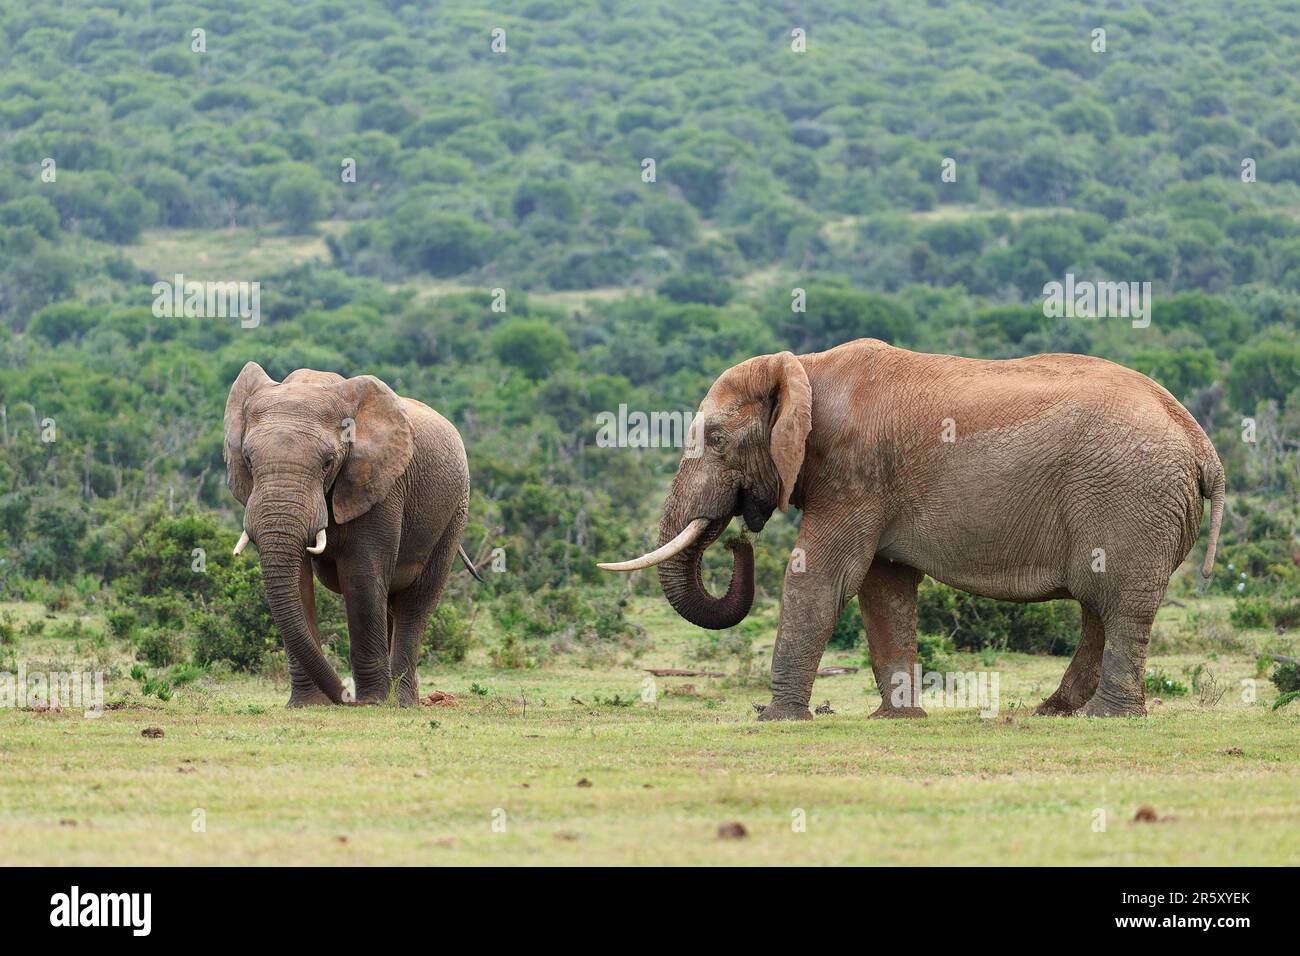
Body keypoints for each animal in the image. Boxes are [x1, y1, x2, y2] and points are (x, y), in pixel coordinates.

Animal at [224, 362, 477, 707]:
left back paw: (400, 702)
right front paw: (305, 705)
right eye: (248, 460)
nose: (346, 698)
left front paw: (372, 703)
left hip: (454, 512)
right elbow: (299, 584)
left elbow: (362, 578)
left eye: (328, 463)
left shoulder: (381, 486)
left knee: (416, 602)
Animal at [600, 338, 1225, 720]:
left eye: (716, 439)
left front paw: (775, 719)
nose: (737, 539)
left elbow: (820, 578)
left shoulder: (854, 472)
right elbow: (884, 589)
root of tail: (1202, 444)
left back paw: (1103, 716)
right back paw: (1055, 712)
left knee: (1119, 602)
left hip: (1130, 499)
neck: (805, 368)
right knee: (1099, 606)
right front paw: (896, 717)